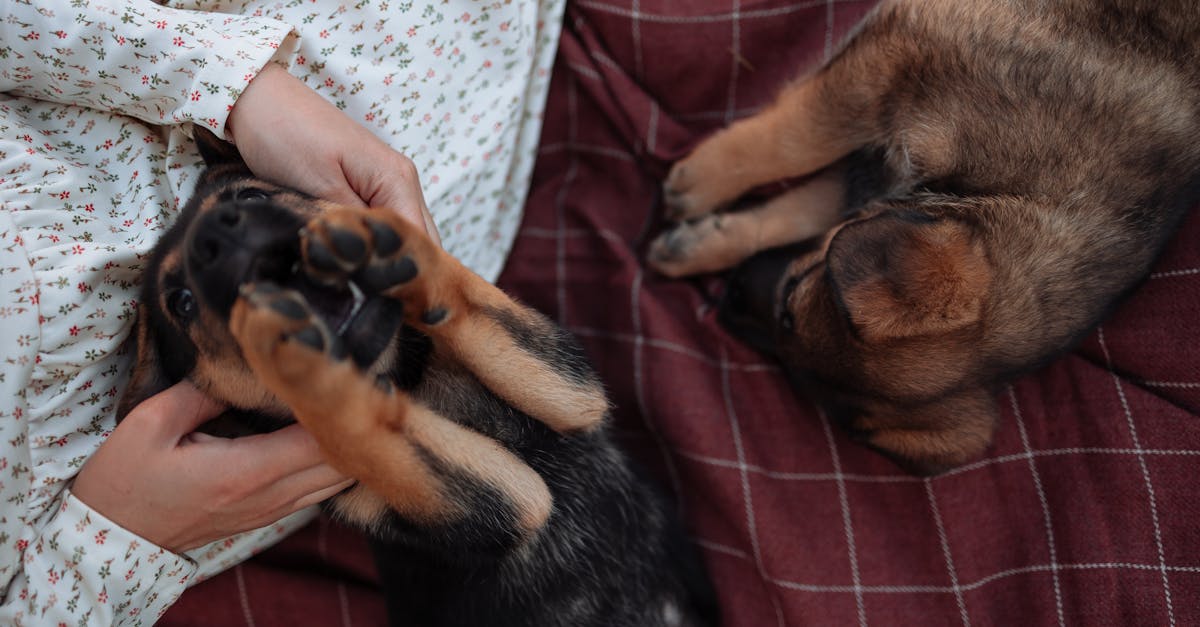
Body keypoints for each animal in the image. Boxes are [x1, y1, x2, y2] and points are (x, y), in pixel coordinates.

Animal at [121, 129, 715, 619]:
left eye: (250, 197)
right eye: (181, 302)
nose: (214, 236)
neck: (407, 381)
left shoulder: (570, 389)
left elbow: (464, 297)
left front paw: (394, 244)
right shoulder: (509, 503)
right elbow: (358, 425)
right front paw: (295, 360)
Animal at [648, 0, 1200, 470]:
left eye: (793, 367)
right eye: (789, 303)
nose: (726, 302)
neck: (1028, 194)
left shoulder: (870, 173)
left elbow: (794, 210)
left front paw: (696, 244)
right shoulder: (895, 61)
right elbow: (797, 140)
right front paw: (702, 181)